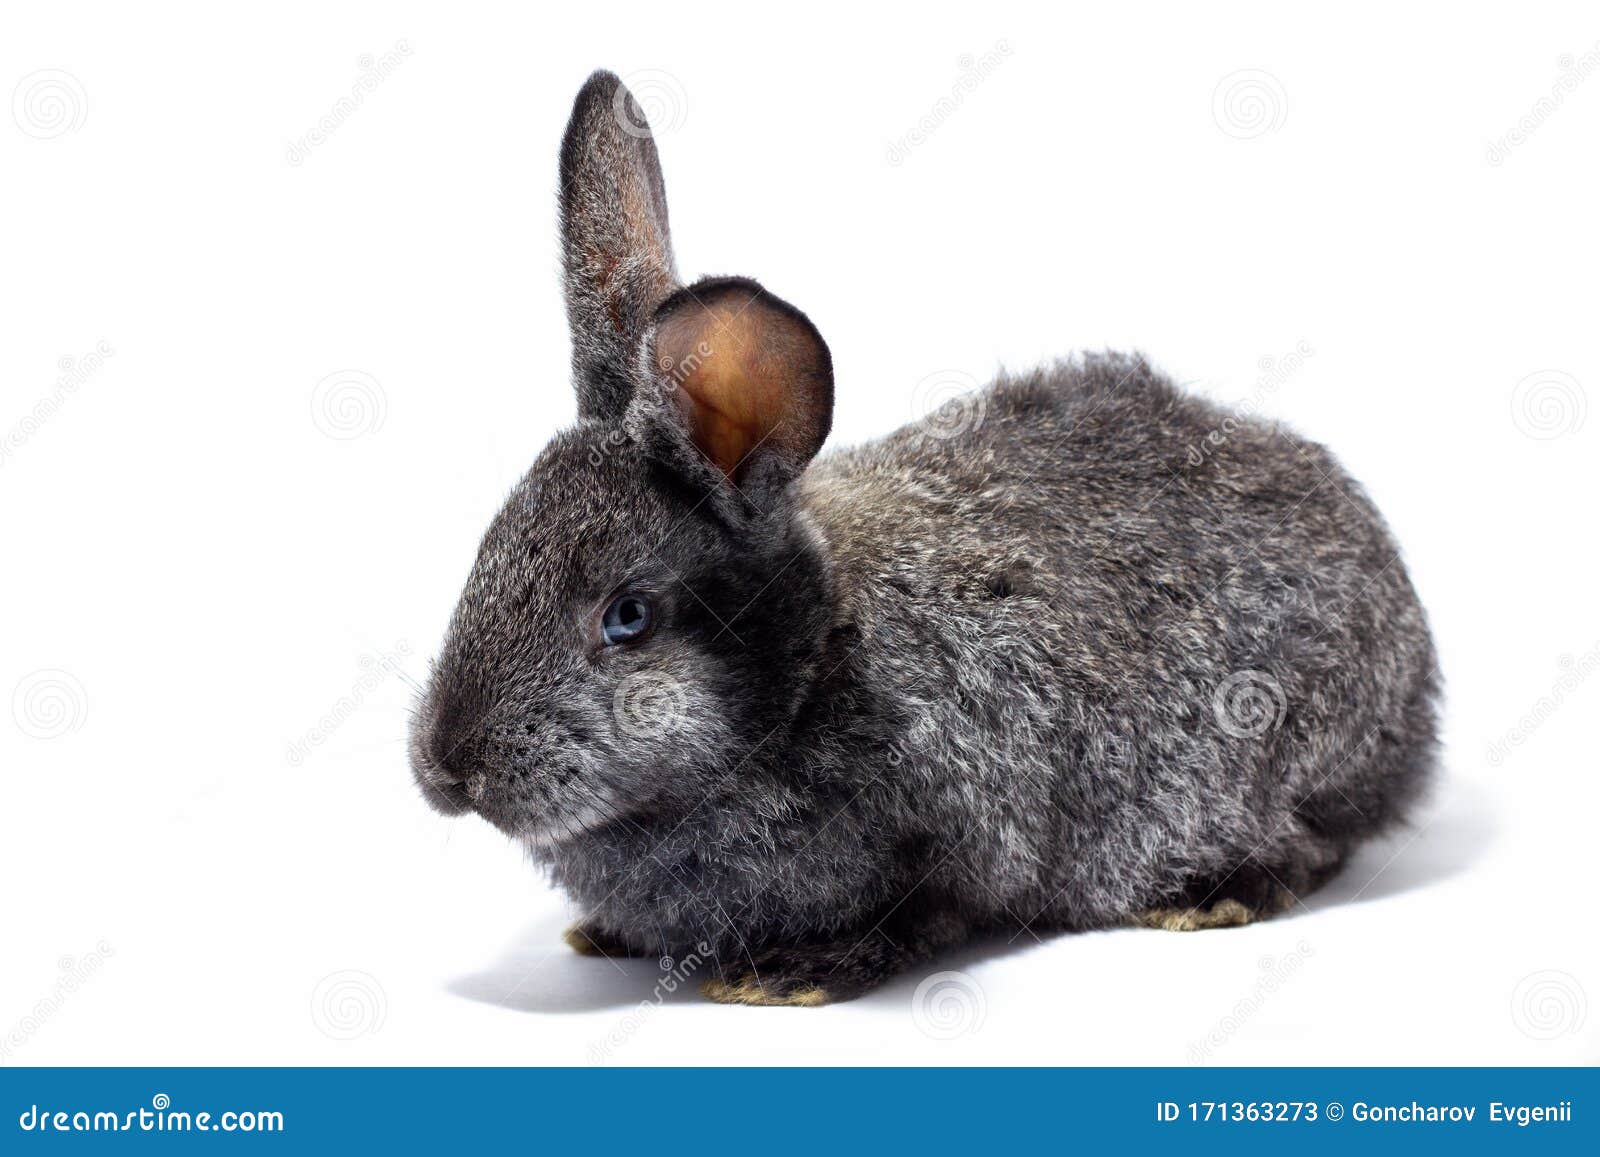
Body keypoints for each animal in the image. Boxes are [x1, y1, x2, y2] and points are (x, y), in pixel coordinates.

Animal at [408, 71, 1439, 1006]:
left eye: (627, 616)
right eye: (487, 553)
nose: (451, 767)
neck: (814, 664)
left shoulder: (955, 827)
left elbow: (919, 914)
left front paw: (788, 975)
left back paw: (1209, 895)